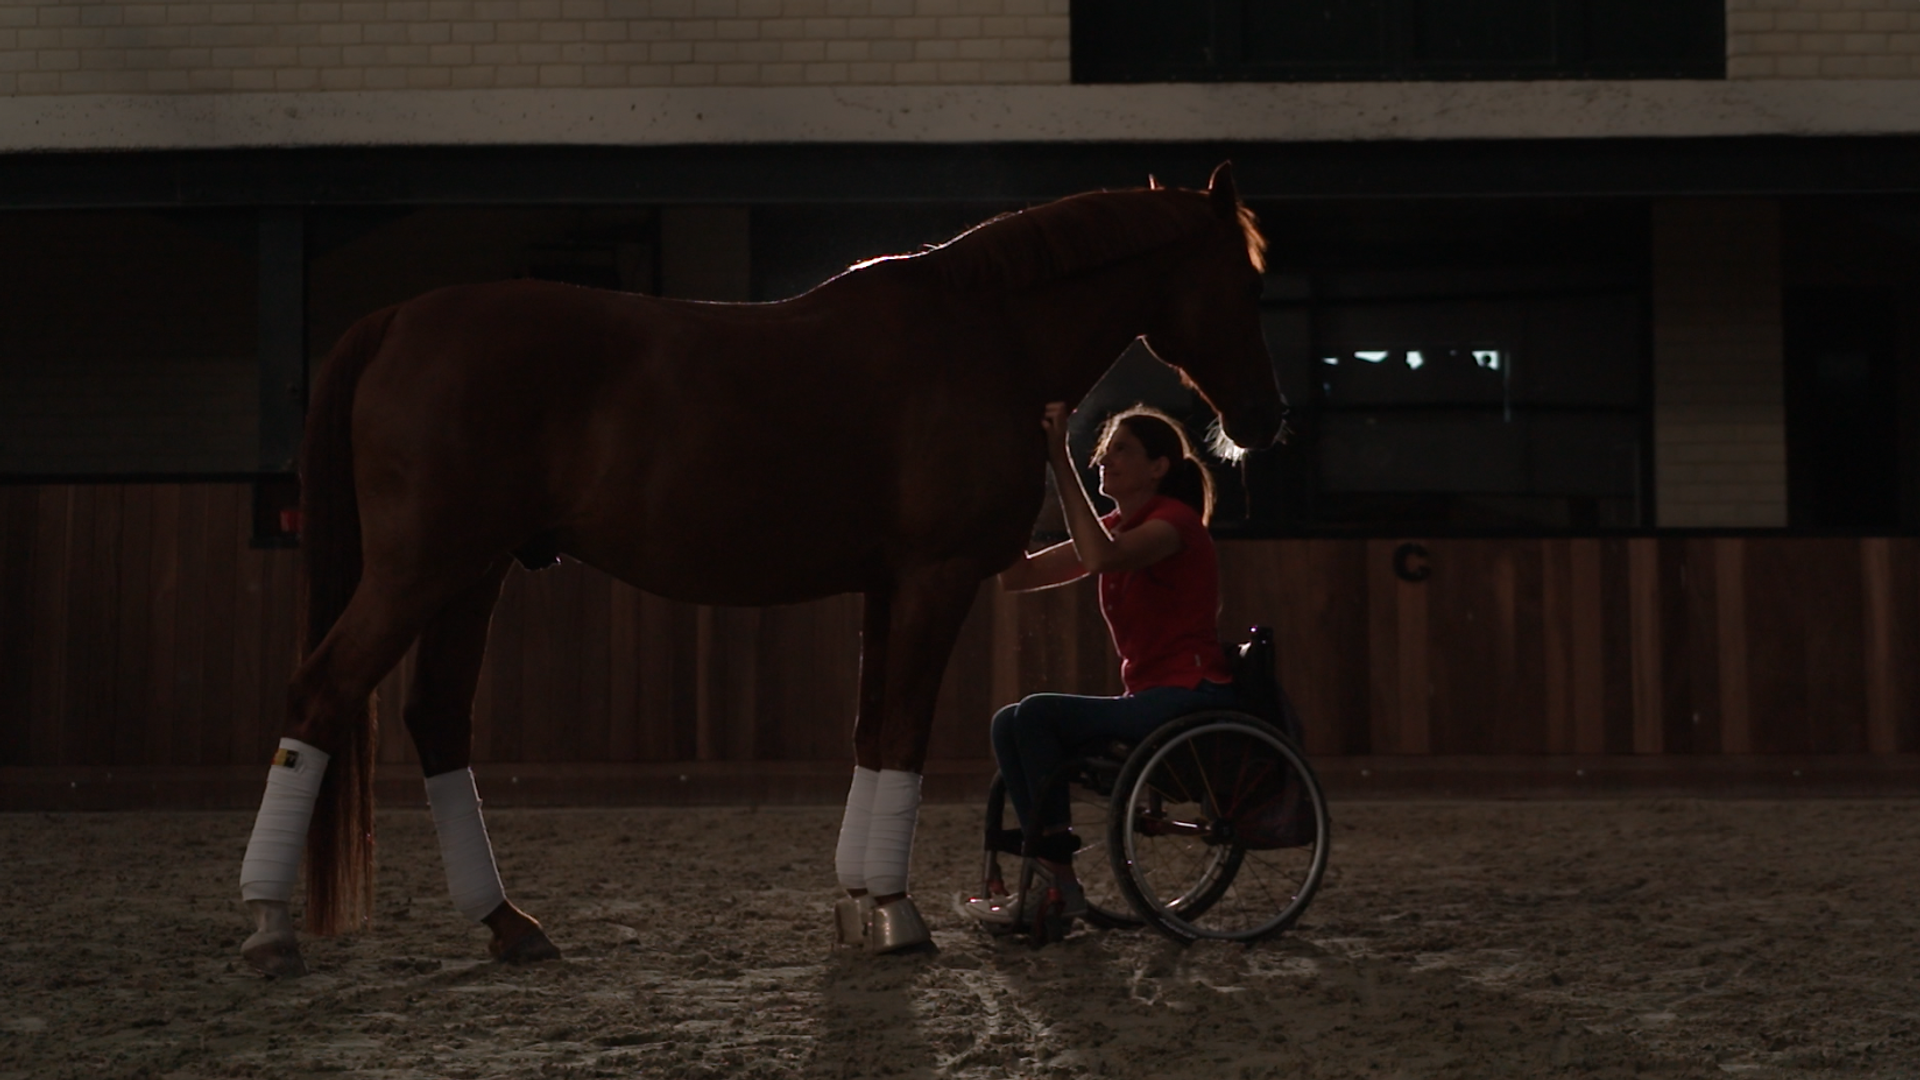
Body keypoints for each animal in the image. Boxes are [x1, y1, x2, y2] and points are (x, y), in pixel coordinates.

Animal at [235, 162, 1285, 976]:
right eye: (1249, 284)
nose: (1265, 420)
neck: (986, 332)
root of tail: (399, 319)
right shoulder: (936, 578)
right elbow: (902, 732)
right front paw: (895, 914)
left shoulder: (888, 585)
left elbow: (871, 733)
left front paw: (859, 904)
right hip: (419, 571)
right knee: (320, 694)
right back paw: (269, 929)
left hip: (472, 573)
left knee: (436, 718)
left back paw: (507, 923)